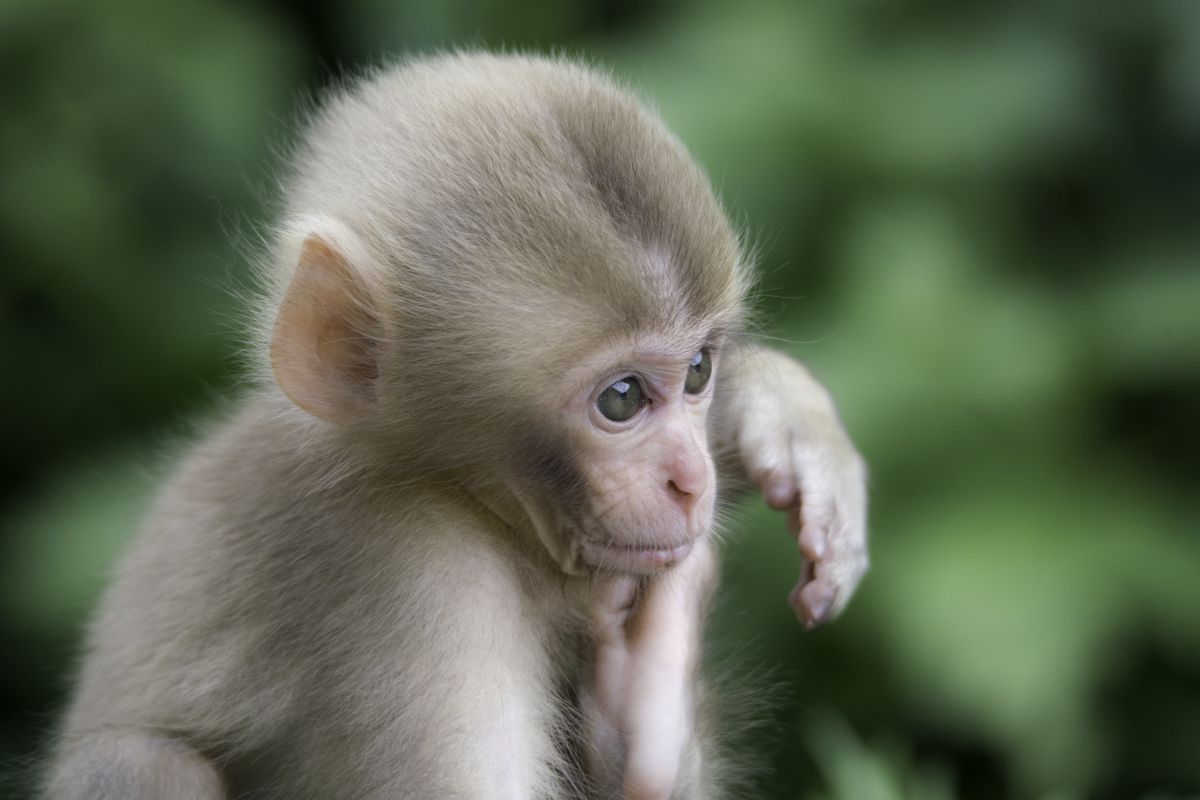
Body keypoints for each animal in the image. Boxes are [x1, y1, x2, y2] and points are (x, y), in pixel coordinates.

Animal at [41, 53, 867, 800]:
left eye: (698, 371)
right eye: (622, 399)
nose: (692, 480)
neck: (467, 500)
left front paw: (788, 417)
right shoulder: (413, 579)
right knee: (140, 763)